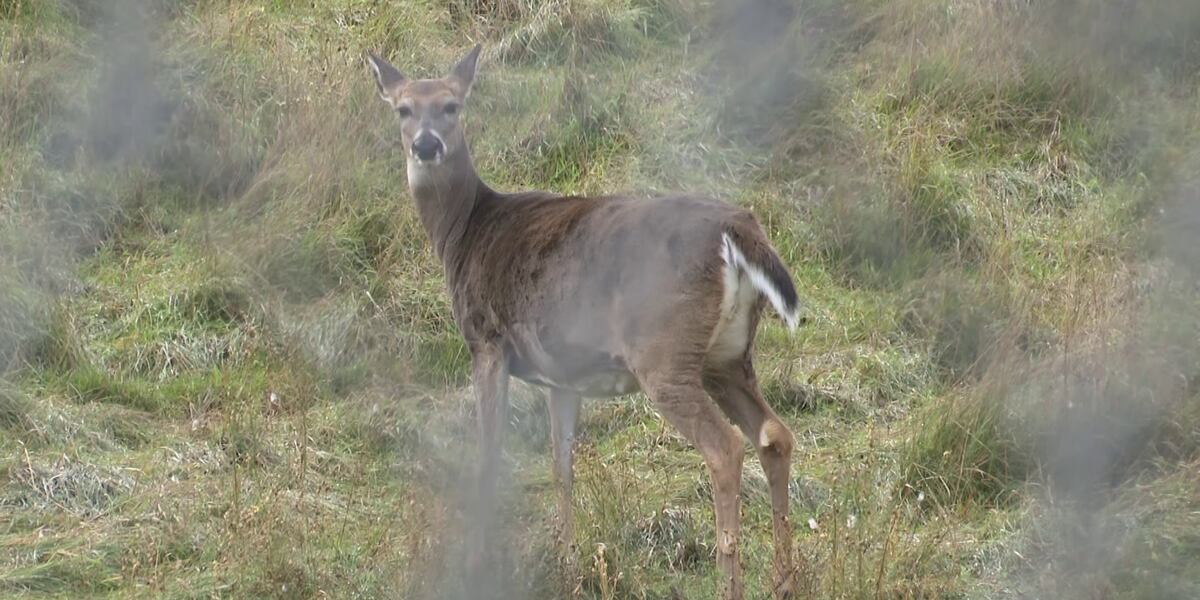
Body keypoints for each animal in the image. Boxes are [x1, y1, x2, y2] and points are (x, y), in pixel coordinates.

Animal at [366, 44, 806, 600]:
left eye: (451, 106)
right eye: (403, 108)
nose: (426, 145)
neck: (464, 233)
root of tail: (736, 228)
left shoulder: (486, 340)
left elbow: (490, 457)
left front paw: (480, 561)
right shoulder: (562, 376)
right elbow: (562, 466)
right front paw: (569, 560)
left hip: (664, 354)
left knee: (725, 447)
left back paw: (733, 583)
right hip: (727, 355)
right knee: (775, 434)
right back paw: (785, 581)